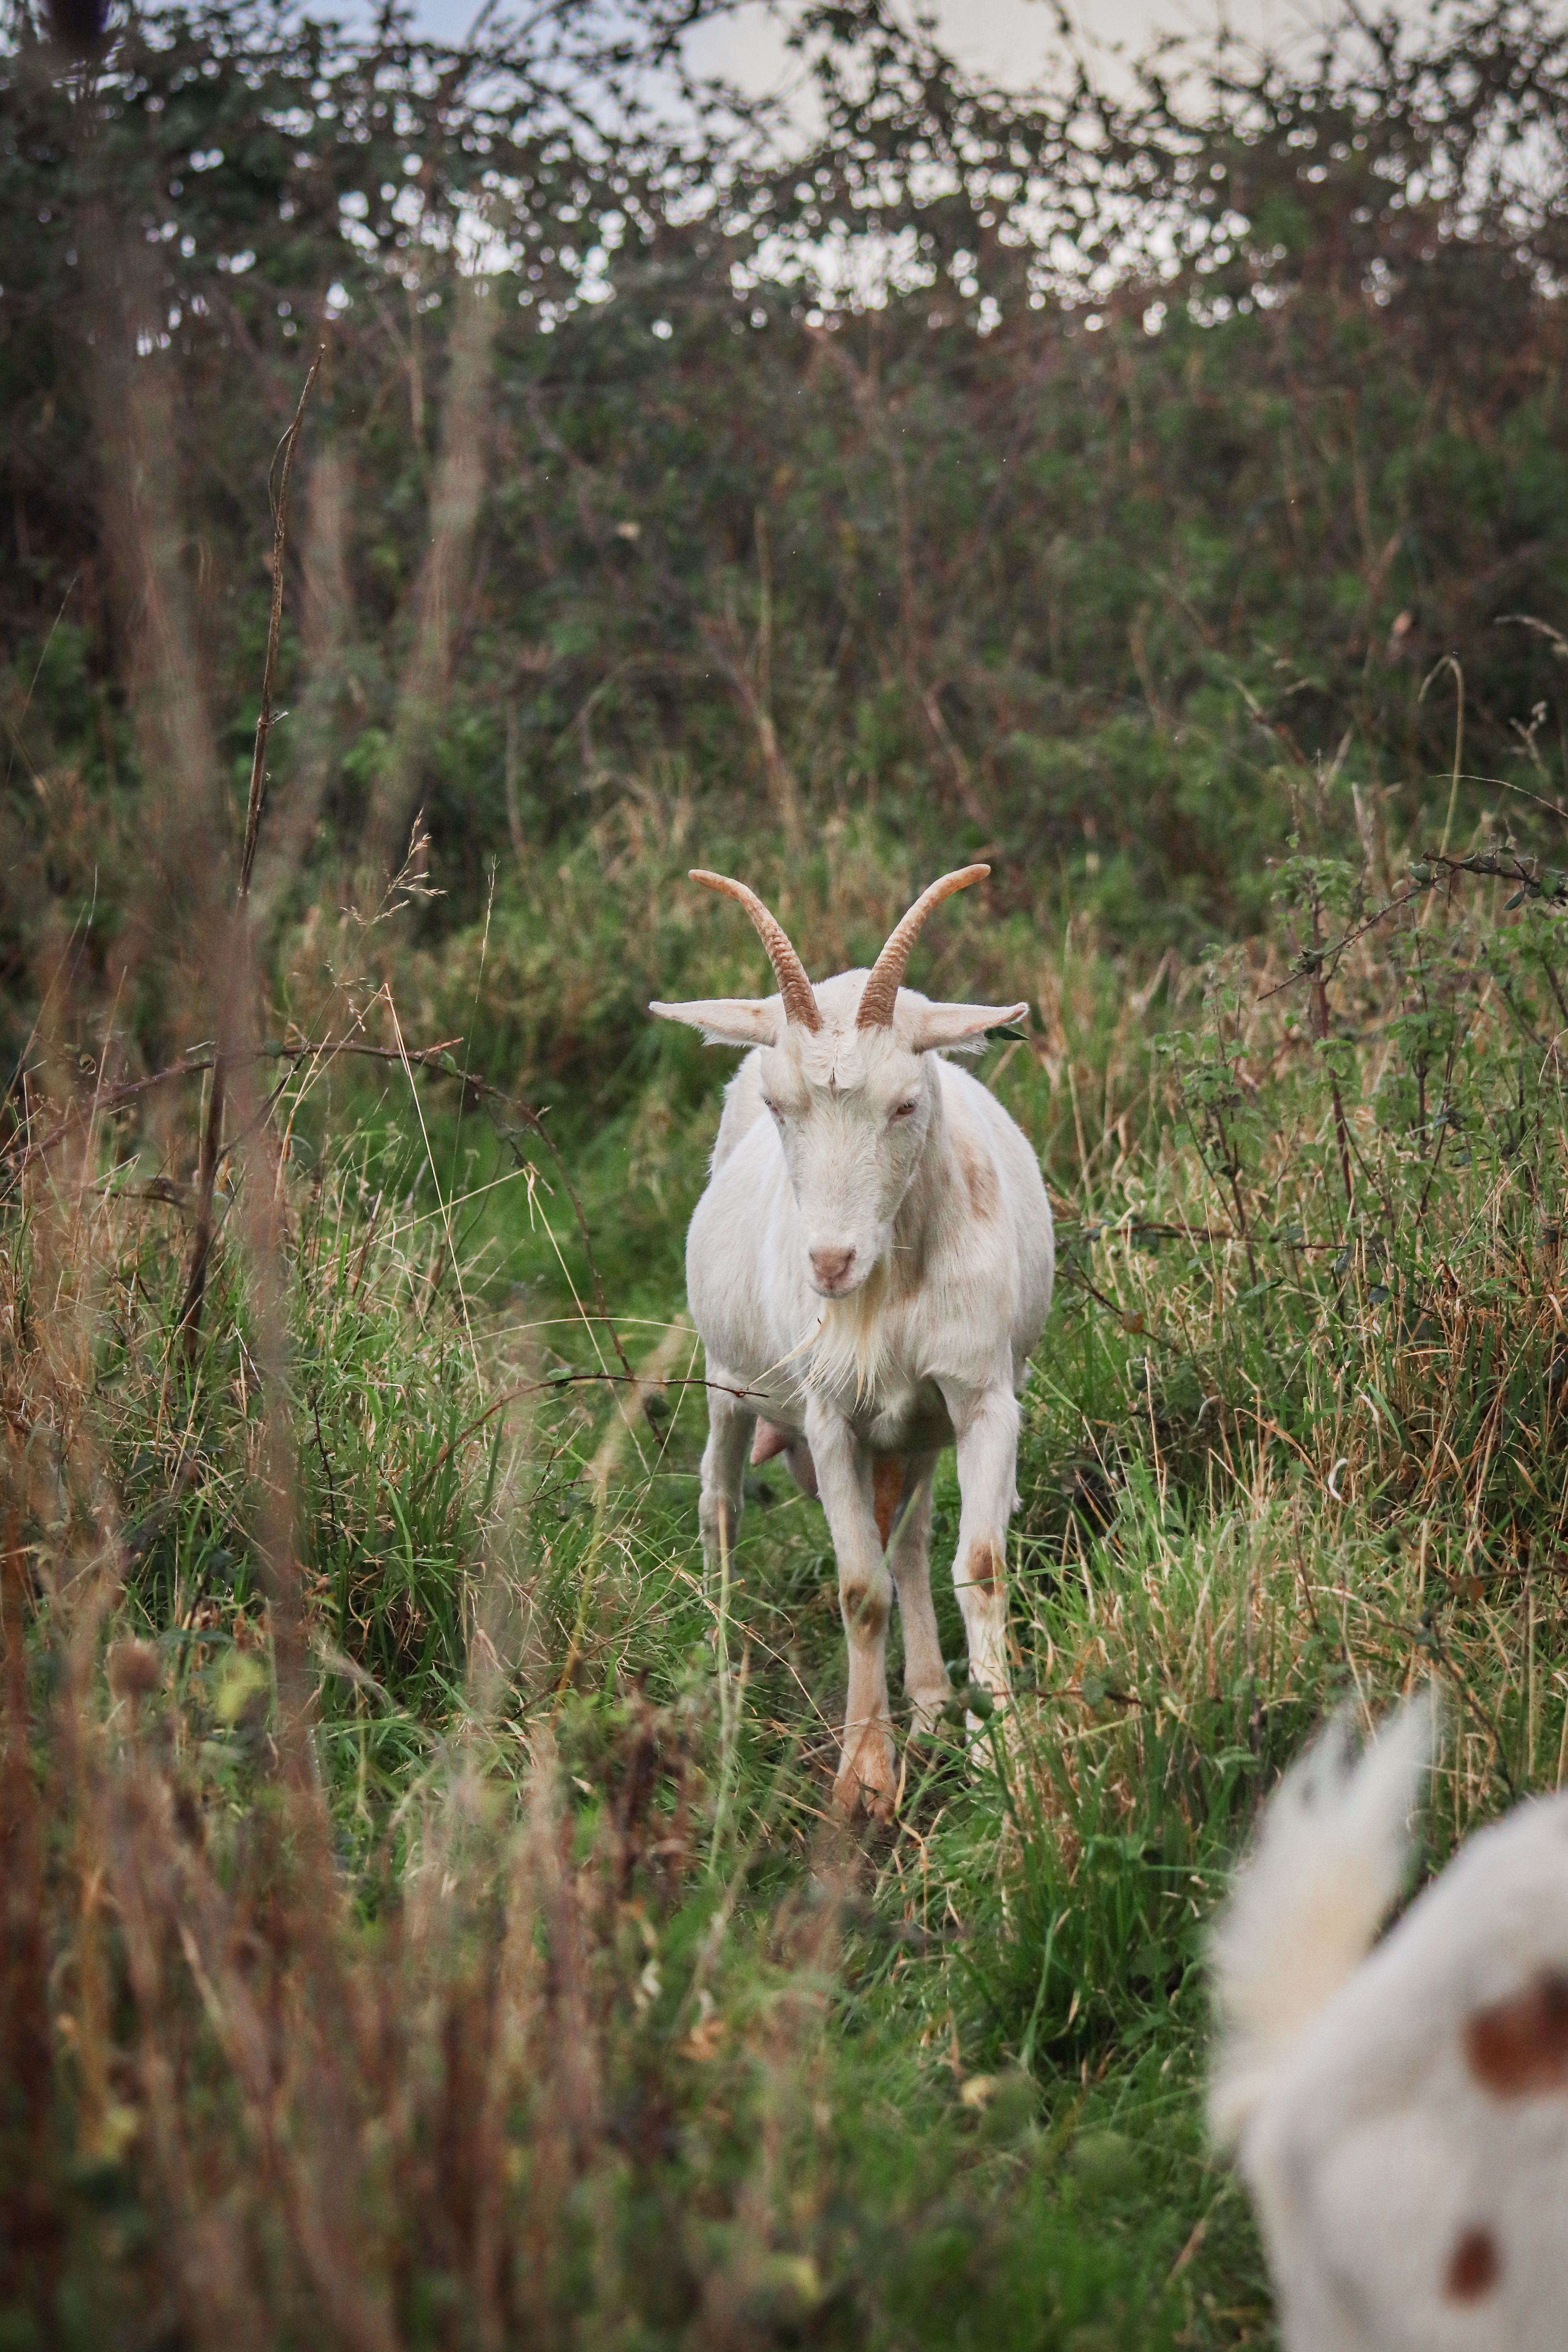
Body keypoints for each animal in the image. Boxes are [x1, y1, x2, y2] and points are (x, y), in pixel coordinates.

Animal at [650, 865, 1054, 1817]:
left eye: (905, 1103)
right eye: (779, 1103)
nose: (830, 1263)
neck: (887, 1288)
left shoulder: (980, 1400)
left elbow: (975, 1564)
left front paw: (1001, 1752)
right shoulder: (830, 1417)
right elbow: (859, 1589)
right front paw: (865, 1774)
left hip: (915, 1430)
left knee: (907, 1541)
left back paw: (934, 1699)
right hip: (730, 1379)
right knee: (718, 1502)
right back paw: (719, 1663)